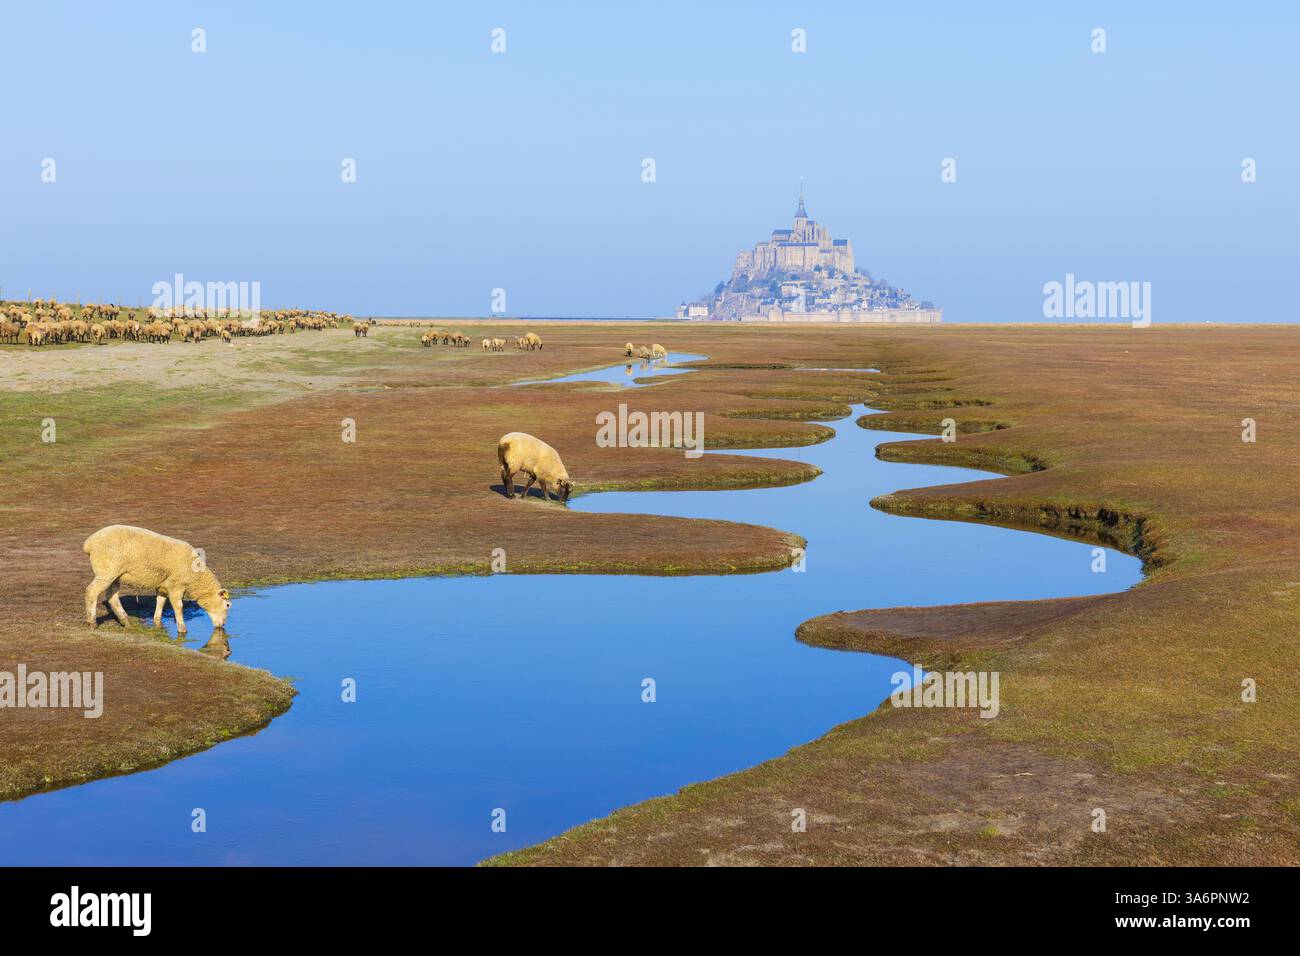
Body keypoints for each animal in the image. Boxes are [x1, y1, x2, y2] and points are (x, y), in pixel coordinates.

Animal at [83, 524, 231, 634]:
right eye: (228, 605)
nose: (222, 626)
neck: (195, 577)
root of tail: (89, 543)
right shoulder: (175, 586)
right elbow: (178, 606)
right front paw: (182, 629)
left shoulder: (163, 586)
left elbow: (160, 602)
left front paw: (157, 621)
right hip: (106, 571)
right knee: (92, 591)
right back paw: (92, 622)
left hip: (114, 574)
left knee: (112, 595)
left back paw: (125, 620)